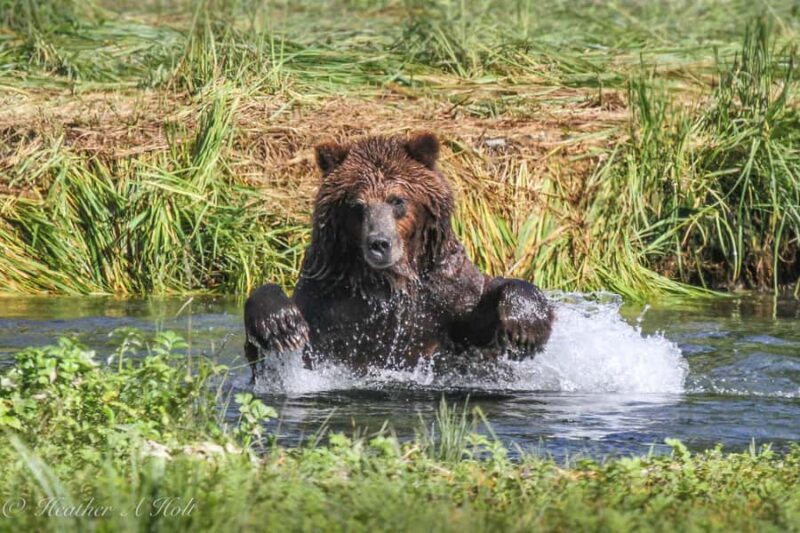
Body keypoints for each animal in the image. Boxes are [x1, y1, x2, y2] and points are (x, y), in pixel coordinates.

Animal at [244, 132, 553, 379]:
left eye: (397, 200)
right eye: (357, 205)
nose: (379, 243)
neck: (388, 281)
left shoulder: (444, 293)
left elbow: (485, 304)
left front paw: (525, 328)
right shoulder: (330, 298)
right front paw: (282, 326)